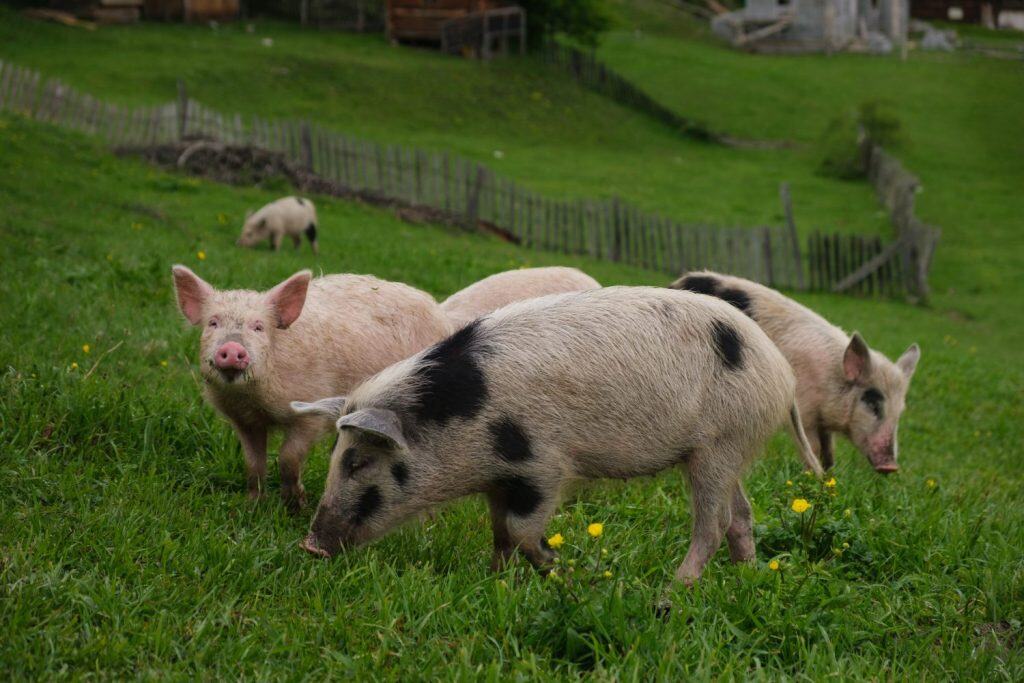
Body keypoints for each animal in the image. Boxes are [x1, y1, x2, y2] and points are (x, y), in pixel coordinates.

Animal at [170, 265, 452, 511]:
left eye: (259, 327)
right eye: (213, 323)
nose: (231, 348)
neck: (254, 400)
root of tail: (442, 314)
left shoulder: (311, 412)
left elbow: (288, 457)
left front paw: (295, 506)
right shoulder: (244, 421)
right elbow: (253, 463)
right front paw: (252, 506)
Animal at [291, 287, 823, 589]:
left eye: (358, 461)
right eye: (336, 455)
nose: (310, 546)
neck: (469, 421)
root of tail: (781, 371)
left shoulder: (541, 465)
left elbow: (522, 529)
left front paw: (565, 573)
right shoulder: (499, 476)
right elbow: (499, 531)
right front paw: (494, 582)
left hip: (721, 444)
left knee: (712, 525)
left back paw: (671, 595)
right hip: (726, 449)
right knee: (741, 515)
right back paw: (746, 578)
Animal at [669, 271, 921, 474]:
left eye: (900, 410)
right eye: (873, 403)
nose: (891, 466)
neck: (831, 381)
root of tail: (678, 281)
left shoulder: (823, 422)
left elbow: (829, 451)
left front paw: (829, 475)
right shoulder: (806, 411)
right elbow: (813, 446)